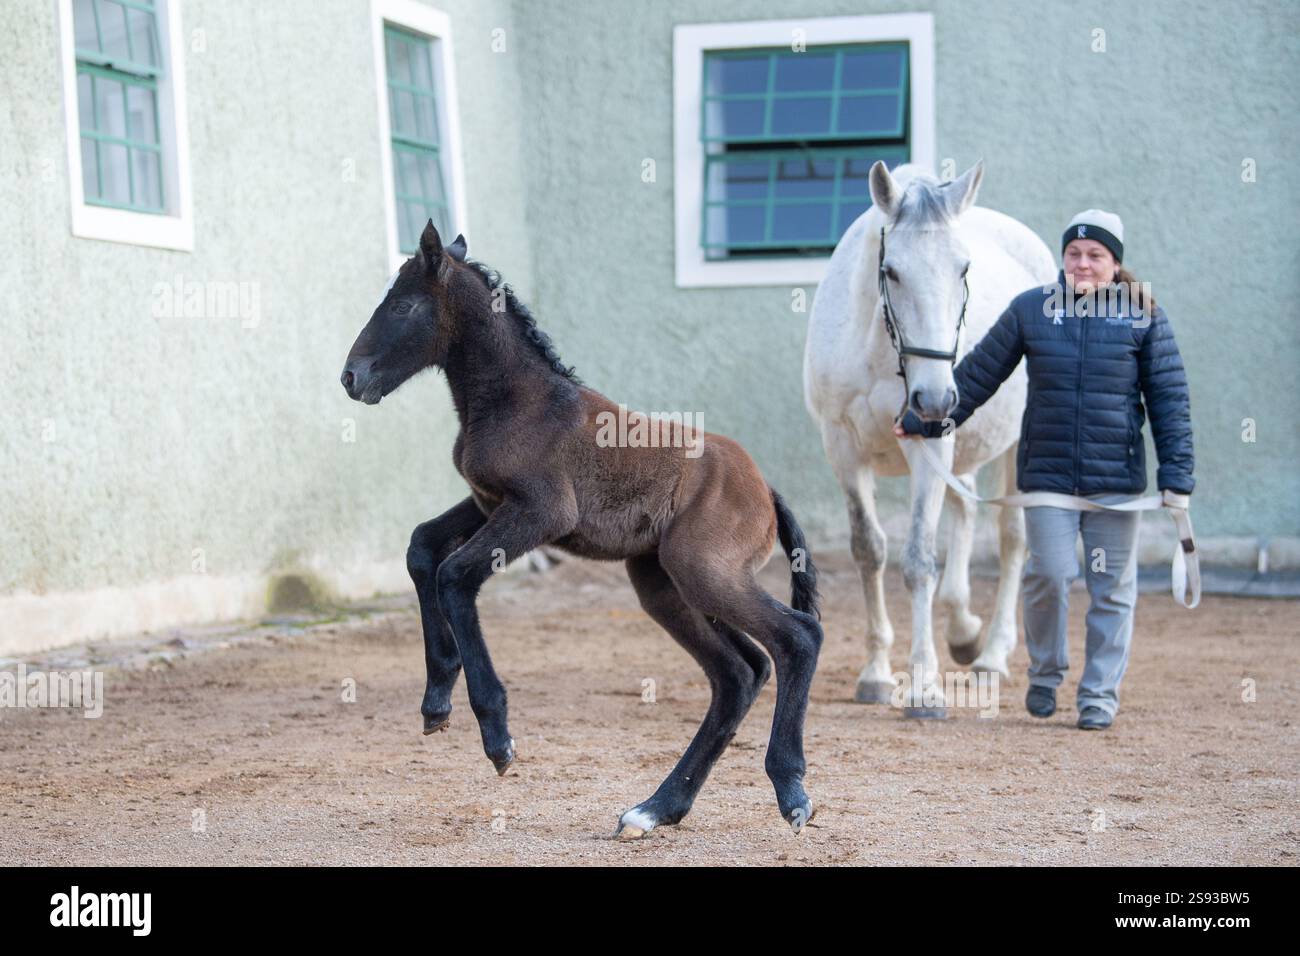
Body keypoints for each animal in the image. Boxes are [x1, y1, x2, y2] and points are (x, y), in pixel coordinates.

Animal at [341, 221, 824, 835]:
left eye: (403, 305)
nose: (351, 376)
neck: (520, 400)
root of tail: (766, 490)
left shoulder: (542, 512)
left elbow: (453, 575)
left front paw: (497, 738)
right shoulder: (487, 503)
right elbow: (422, 547)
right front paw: (435, 700)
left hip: (702, 571)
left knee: (796, 639)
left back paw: (790, 791)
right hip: (663, 582)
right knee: (740, 672)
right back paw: (656, 809)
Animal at [803, 160, 1057, 717]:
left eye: (964, 269)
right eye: (892, 271)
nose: (936, 399)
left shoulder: (929, 445)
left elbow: (918, 559)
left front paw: (923, 685)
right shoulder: (843, 449)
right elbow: (869, 550)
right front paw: (876, 673)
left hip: (1011, 446)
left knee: (1011, 539)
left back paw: (992, 654)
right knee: (965, 511)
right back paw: (963, 630)